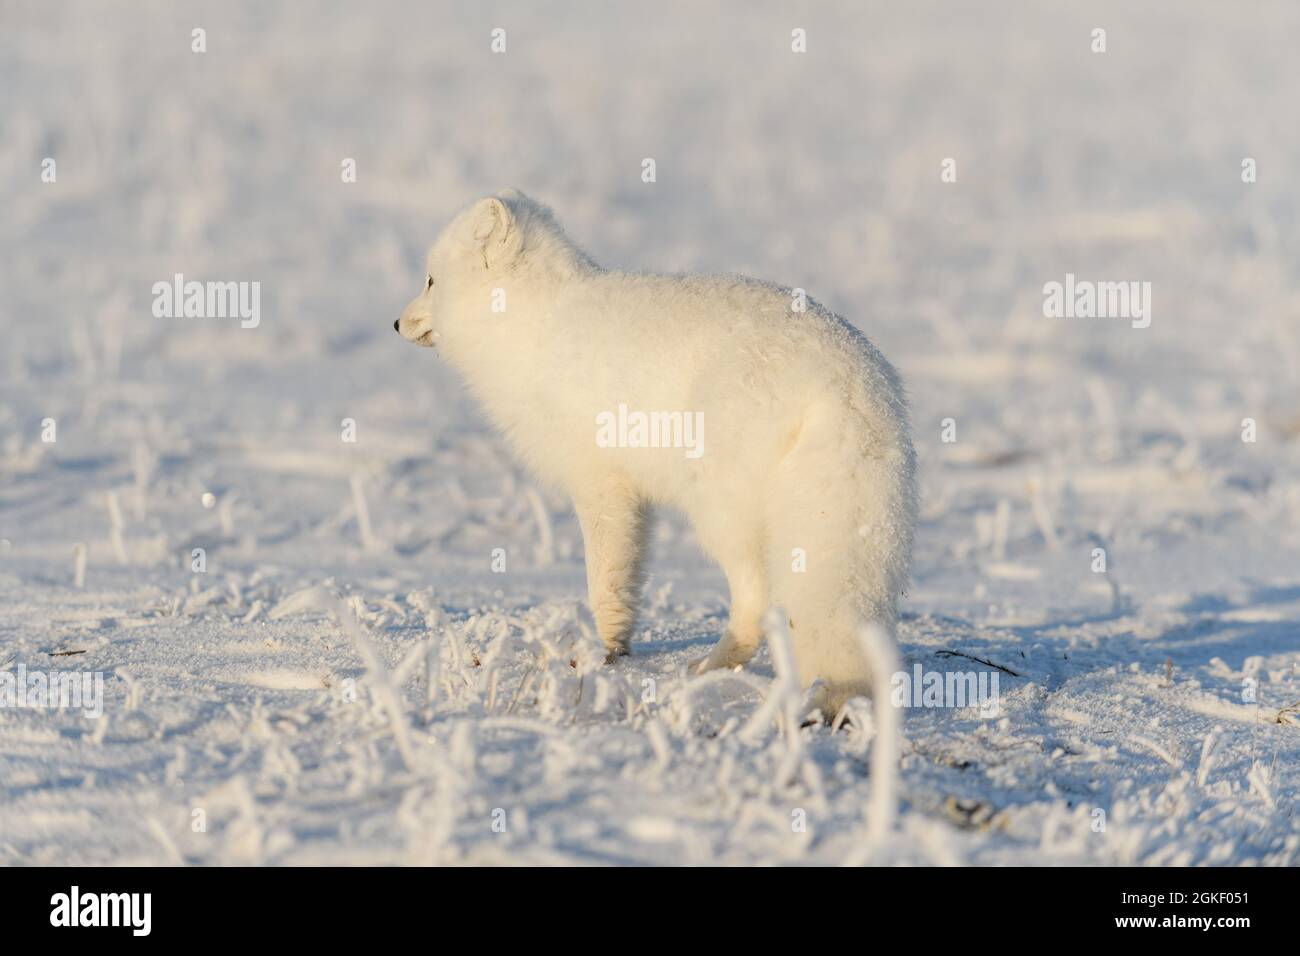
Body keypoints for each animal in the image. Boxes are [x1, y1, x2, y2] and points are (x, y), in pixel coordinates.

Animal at [395, 189, 917, 716]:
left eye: (431, 280)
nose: (396, 323)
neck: (535, 326)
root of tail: (845, 383)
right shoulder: (633, 496)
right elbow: (630, 576)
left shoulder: (600, 482)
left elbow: (603, 576)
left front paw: (595, 653)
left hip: (720, 510)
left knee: (756, 598)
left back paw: (711, 668)